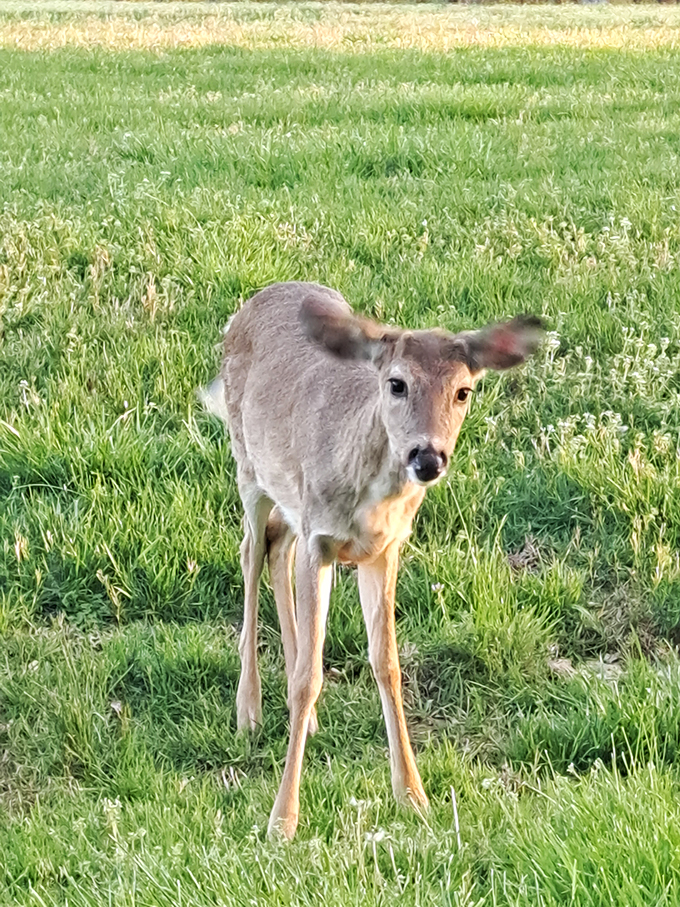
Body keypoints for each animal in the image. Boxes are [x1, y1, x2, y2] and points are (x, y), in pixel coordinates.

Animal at [201, 281, 543, 840]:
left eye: (463, 391)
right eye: (397, 383)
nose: (428, 457)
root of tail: (261, 296)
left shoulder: (383, 550)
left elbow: (387, 665)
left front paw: (414, 797)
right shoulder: (321, 537)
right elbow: (309, 677)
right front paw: (282, 820)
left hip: (291, 507)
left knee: (276, 546)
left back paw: (304, 717)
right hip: (247, 461)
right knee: (251, 550)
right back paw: (248, 712)